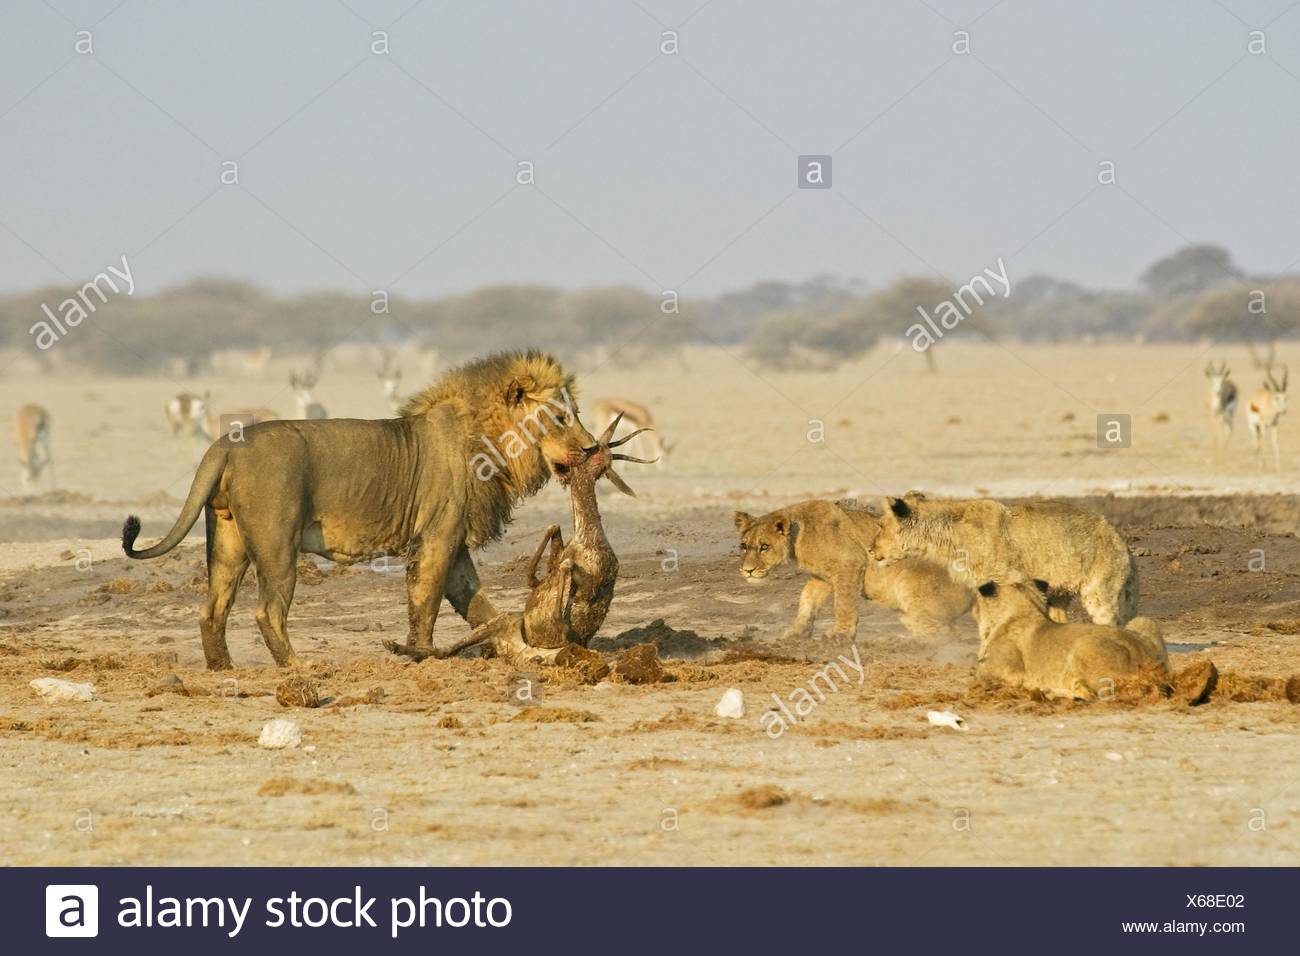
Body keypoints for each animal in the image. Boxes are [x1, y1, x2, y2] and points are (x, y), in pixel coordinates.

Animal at [122, 350, 607, 669]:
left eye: (578, 414)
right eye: (560, 419)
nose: (593, 448)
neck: (489, 440)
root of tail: (225, 442)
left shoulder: (453, 542)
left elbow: (476, 601)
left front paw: (516, 642)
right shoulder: (438, 536)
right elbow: (425, 600)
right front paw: (420, 654)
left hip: (227, 541)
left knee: (212, 611)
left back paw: (222, 670)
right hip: (277, 545)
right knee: (268, 611)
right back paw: (298, 668)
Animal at [734, 500, 973, 641]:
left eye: (764, 547)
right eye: (744, 546)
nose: (747, 571)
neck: (797, 537)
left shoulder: (849, 564)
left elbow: (843, 604)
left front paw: (841, 634)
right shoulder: (821, 578)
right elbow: (807, 601)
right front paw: (797, 633)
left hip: (908, 584)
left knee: (951, 632)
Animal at [868, 494, 1138, 625]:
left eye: (880, 525)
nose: (870, 549)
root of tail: (1122, 542)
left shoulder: (1018, 579)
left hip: (1100, 589)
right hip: (1060, 592)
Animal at [973, 577, 1167, 699]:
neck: (1025, 607)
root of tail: (1146, 663)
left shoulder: (1007, 671)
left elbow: (980, 676)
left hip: (1082, 647)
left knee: (1091, 695)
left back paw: (1048, 692)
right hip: (1144, 621)